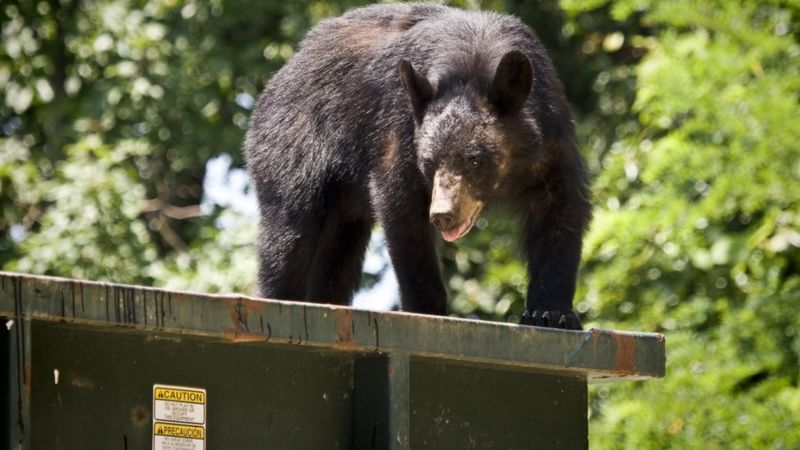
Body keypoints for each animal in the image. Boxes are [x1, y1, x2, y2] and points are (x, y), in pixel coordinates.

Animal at [244, 3, 591, 329]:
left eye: (475, 159)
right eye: (428, 162)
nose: (443, 214)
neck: (474, 64)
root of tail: (280, 74)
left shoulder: (552, 137)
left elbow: (560, 210)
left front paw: (551, 313)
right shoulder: (400, 129)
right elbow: (402, 209)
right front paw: (427, 308)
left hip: (343, 207)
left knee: (337, 258)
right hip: (292, 144)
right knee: (291, 234)